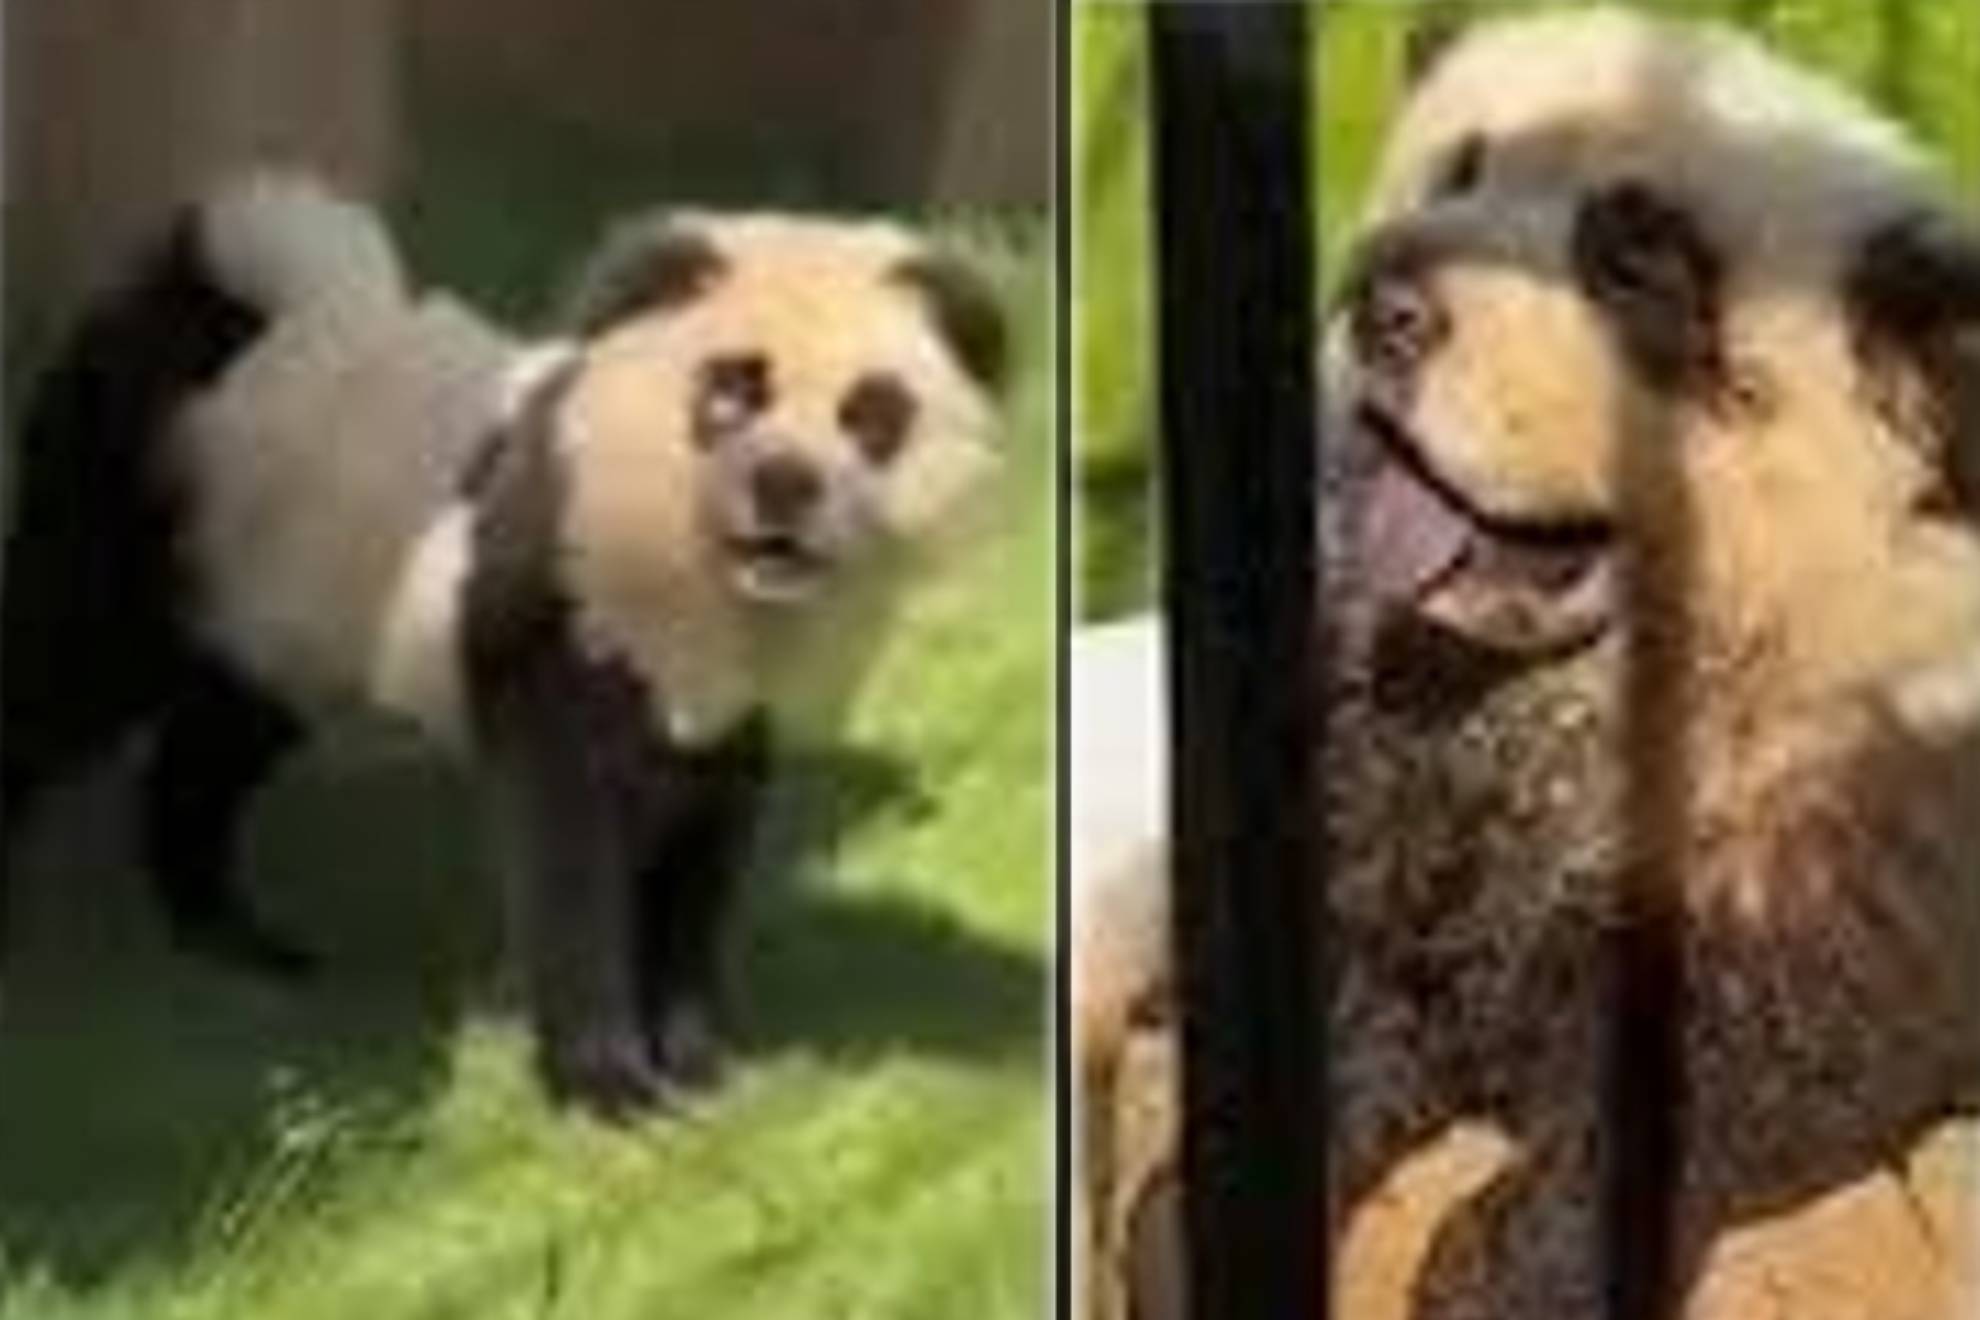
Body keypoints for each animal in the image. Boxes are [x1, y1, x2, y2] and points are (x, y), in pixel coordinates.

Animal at [0, 171, 1008, 1118]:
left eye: (871, 414)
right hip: (139, 511)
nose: (784, 488)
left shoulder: (729, 710)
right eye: (730, 389)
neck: (696, 580)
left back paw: (236, 937)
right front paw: (609, 1087)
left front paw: (700, 1065)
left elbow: (700, 854)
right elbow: (573, 849)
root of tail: (216, 284)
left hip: (287, 598)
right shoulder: (553, 615)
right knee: (65, 667)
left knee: (212, 749)